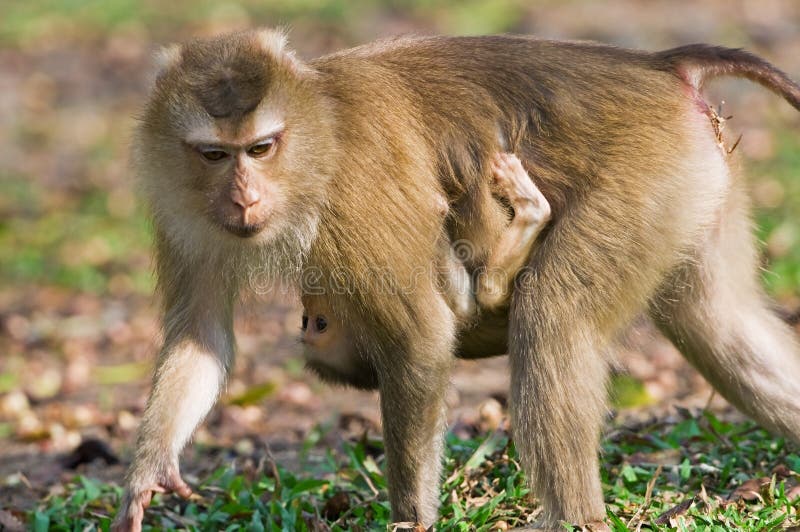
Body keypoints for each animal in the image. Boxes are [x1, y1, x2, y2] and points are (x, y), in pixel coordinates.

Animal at [300, 151, 552, 385]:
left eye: (312, 322)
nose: (306, 299)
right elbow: (465, 306)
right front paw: (436, 208)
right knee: (488, 291)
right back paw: (532, 208)